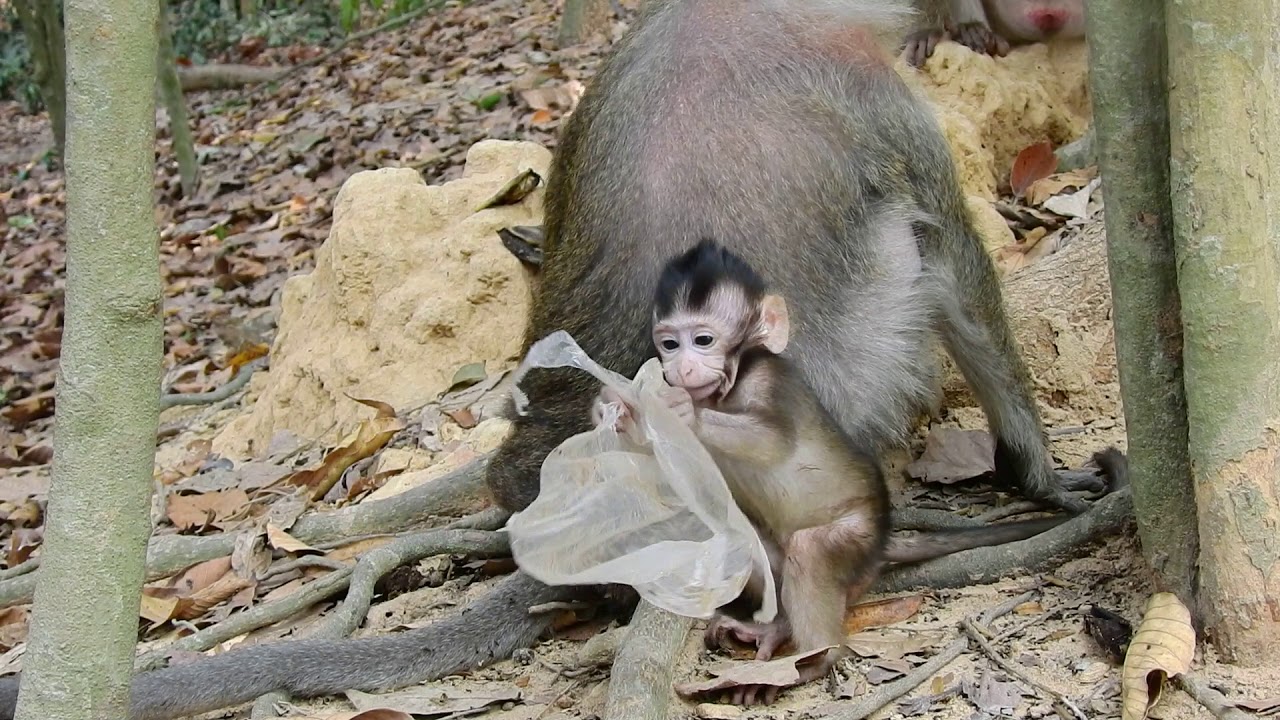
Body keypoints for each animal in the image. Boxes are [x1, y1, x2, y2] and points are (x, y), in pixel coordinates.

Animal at [591, 239, 1081, 704]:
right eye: (670, 344)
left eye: (704, 340)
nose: (681, 367)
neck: (727, 388)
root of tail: (881, 542)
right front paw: (617, 412)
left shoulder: (769, 381)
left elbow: (771, 440)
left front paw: (676, 410)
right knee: (746, 539)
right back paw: (775, 629)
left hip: (856, 534)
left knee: (810, 551)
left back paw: (815, 659)